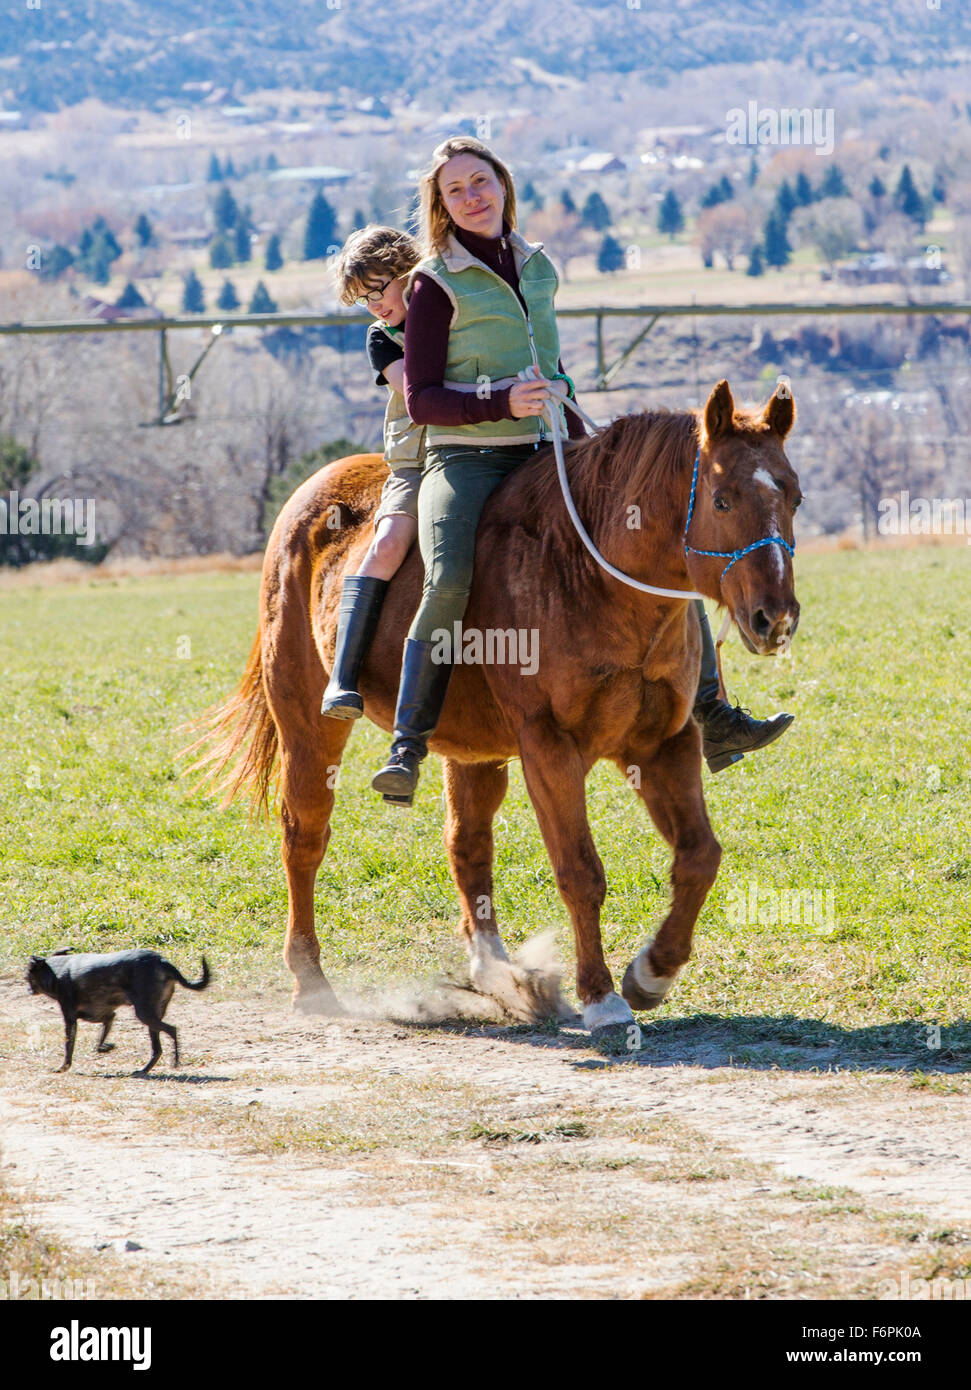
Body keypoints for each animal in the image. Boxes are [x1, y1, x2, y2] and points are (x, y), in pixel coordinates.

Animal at [190, 379, 801, 1040]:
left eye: (794, 496)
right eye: (721, 499)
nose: (775, 619)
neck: (590, 572)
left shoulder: (664, 743)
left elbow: (699, 858)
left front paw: (650, 973)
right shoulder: (549, 748)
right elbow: (580, 872)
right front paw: (602, 997)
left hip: (472, 750)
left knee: (467, 845)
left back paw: (497, 974)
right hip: (309, 727)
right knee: (304, 836)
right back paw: (311, 980)